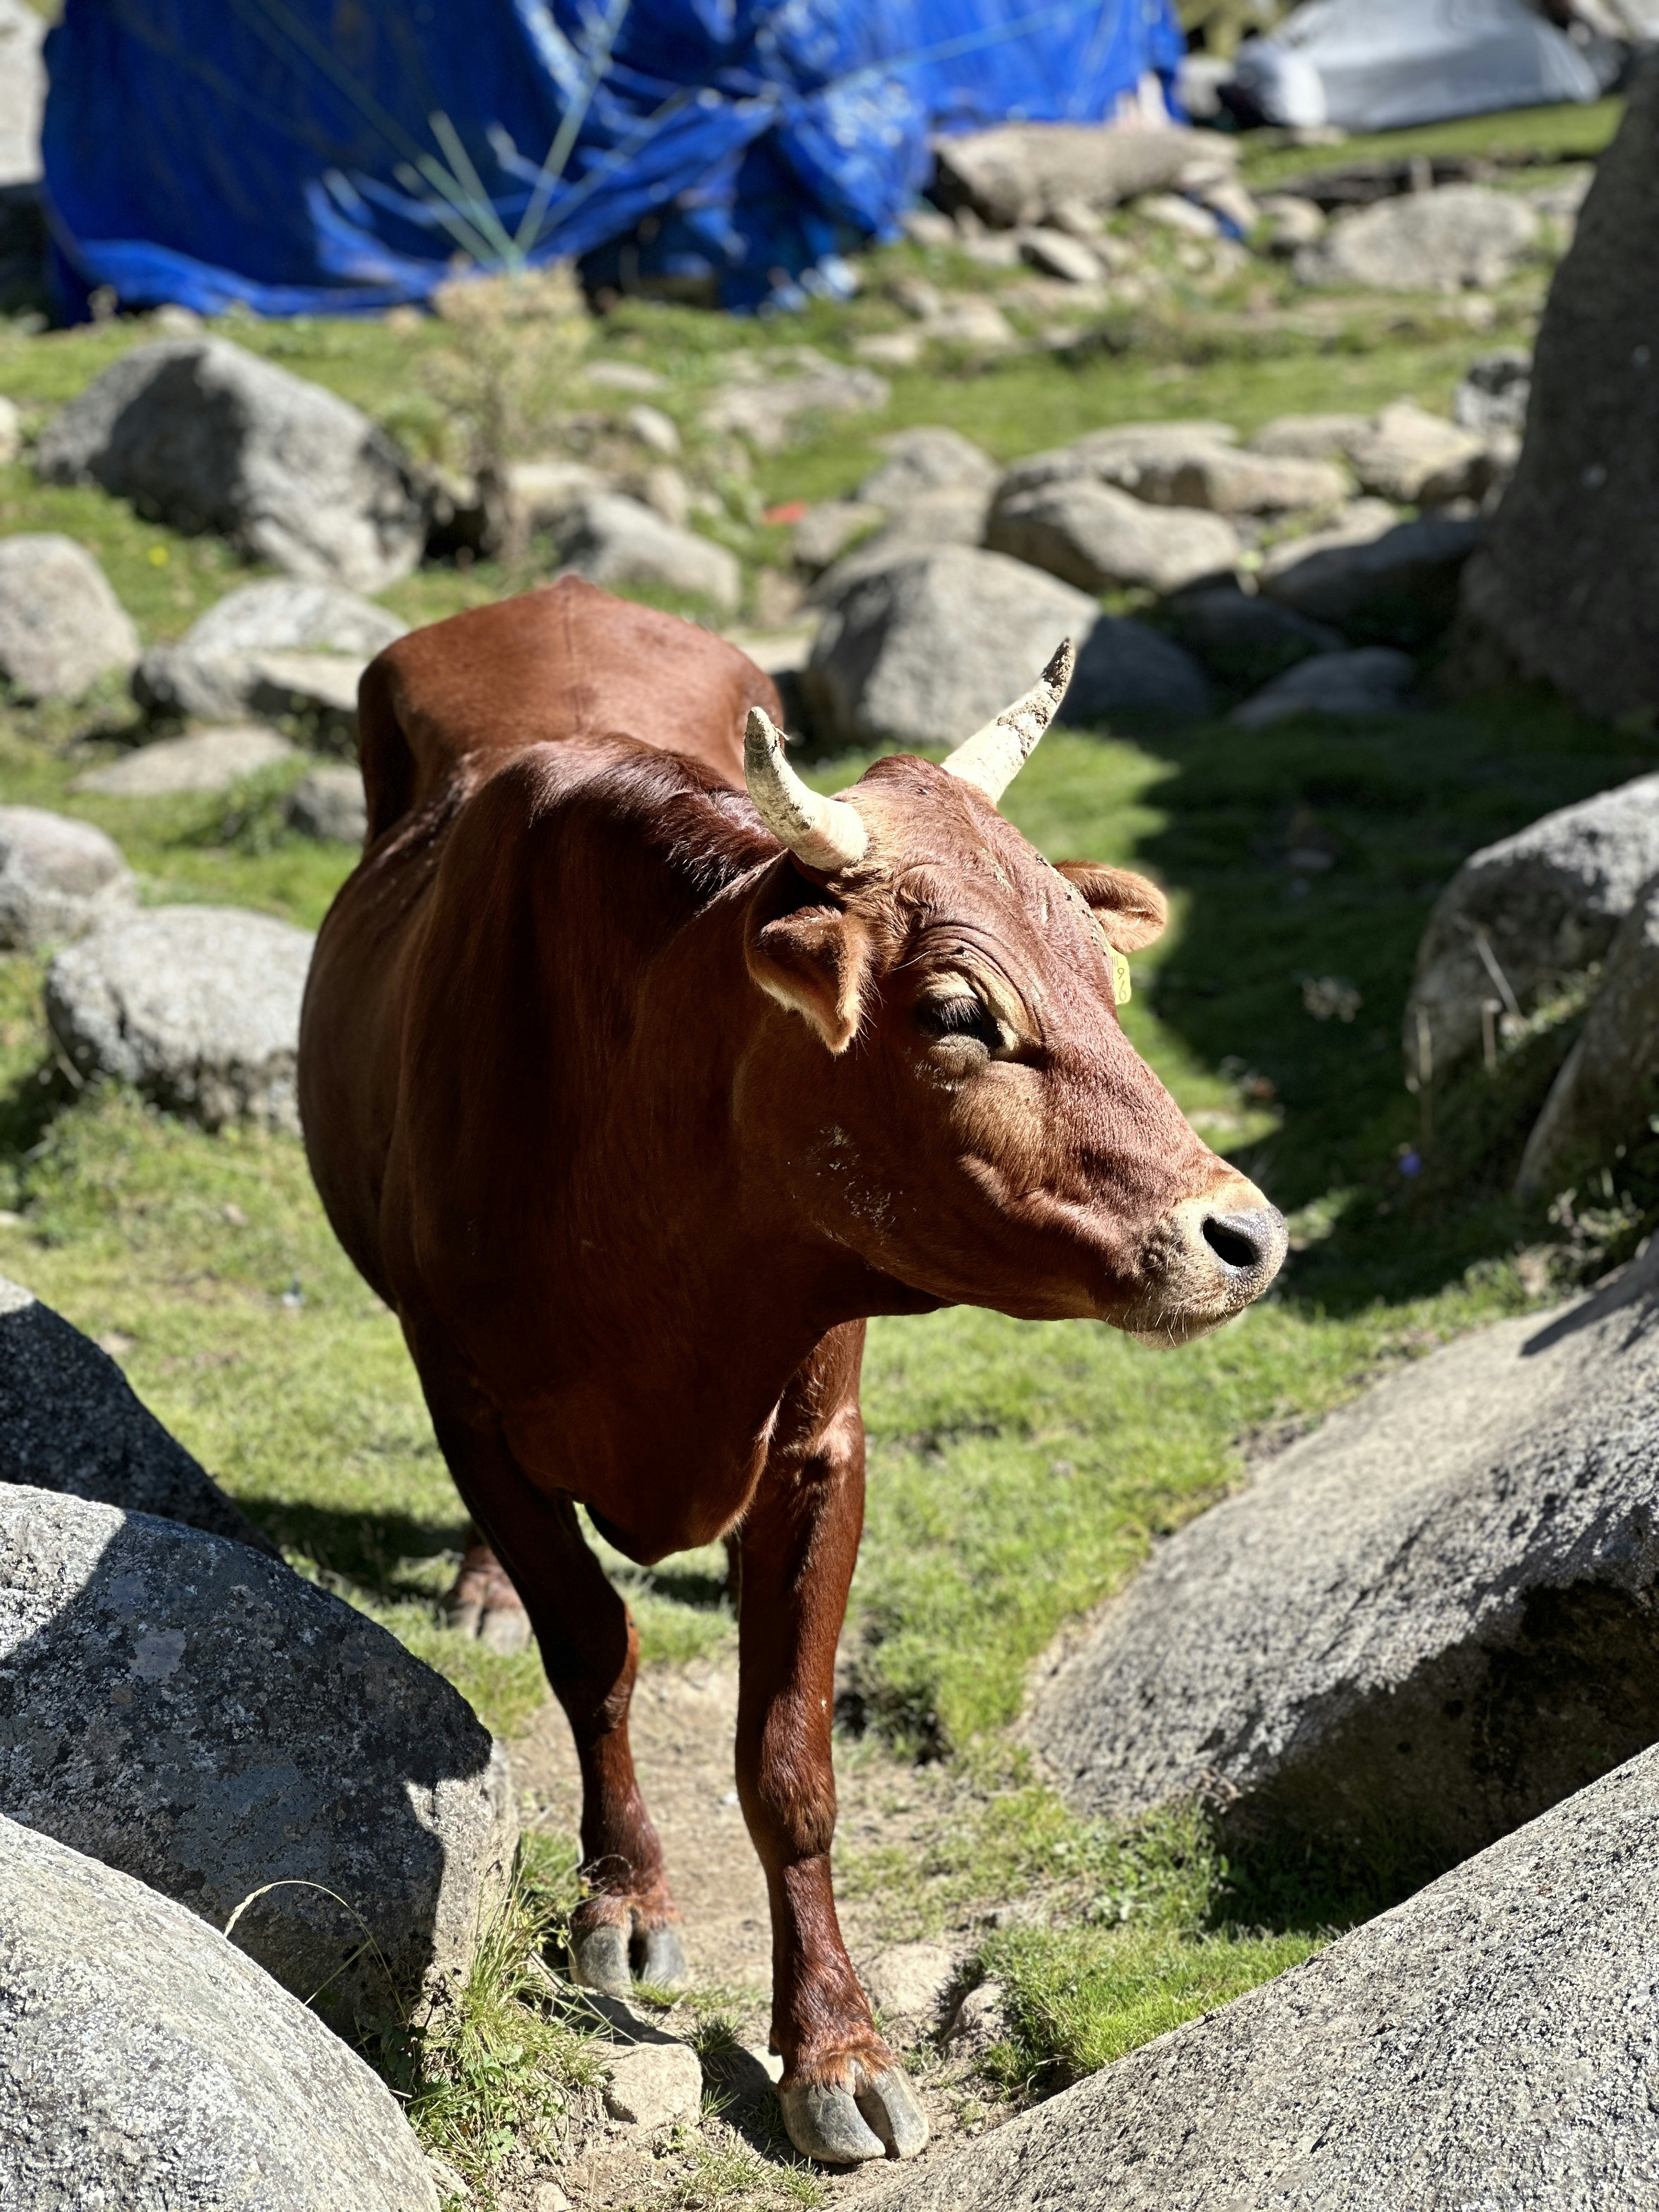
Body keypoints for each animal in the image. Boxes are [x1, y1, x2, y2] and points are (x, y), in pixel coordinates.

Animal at [298, 577, 1285, 2167]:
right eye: (960, 1011)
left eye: (1108, 974)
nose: (1246, 1236)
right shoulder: (474, 1406)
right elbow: (596, 1654)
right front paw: (624, 1898)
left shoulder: (821, 1446)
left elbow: (791, 1767)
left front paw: (835, 2047)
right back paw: (481, 1587)